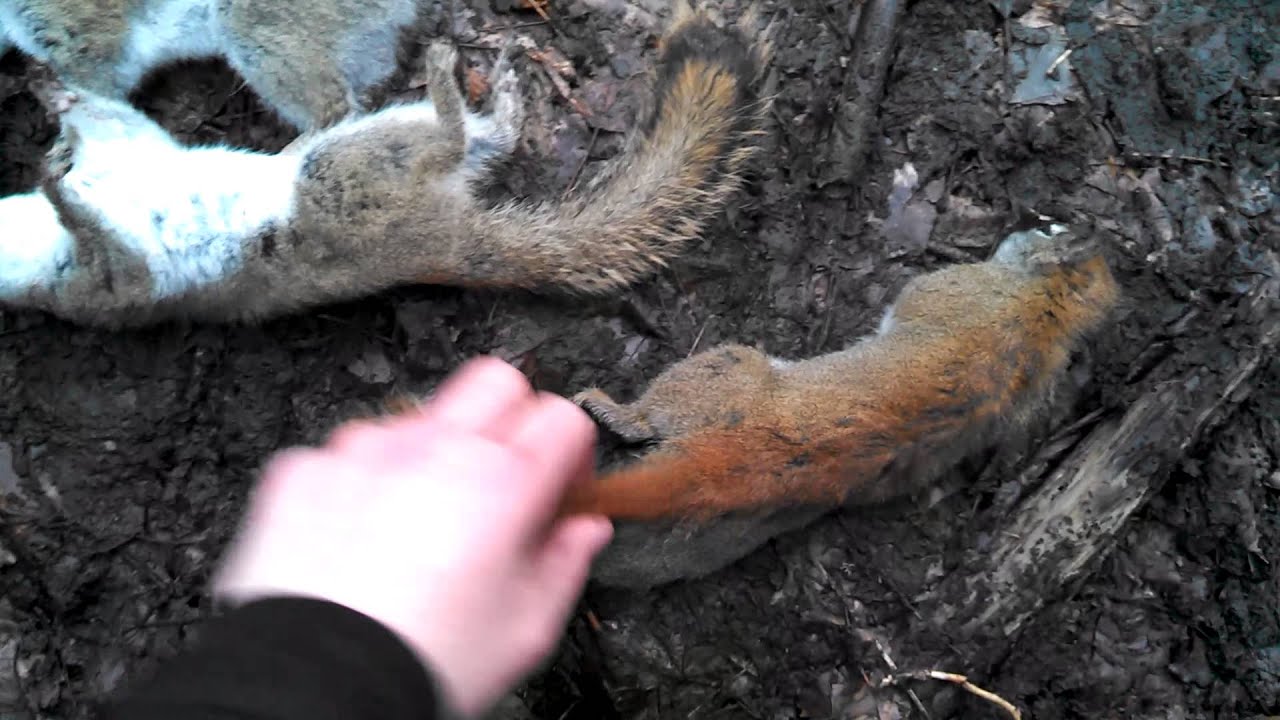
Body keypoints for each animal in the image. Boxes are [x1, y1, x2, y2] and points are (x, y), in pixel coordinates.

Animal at [561, 224, 1120, 528]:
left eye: (1049, 229)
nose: (1028, 220)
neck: (1046, 307)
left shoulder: (944, 288)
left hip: (721, 372)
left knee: (645, 420)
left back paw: (611, 407)